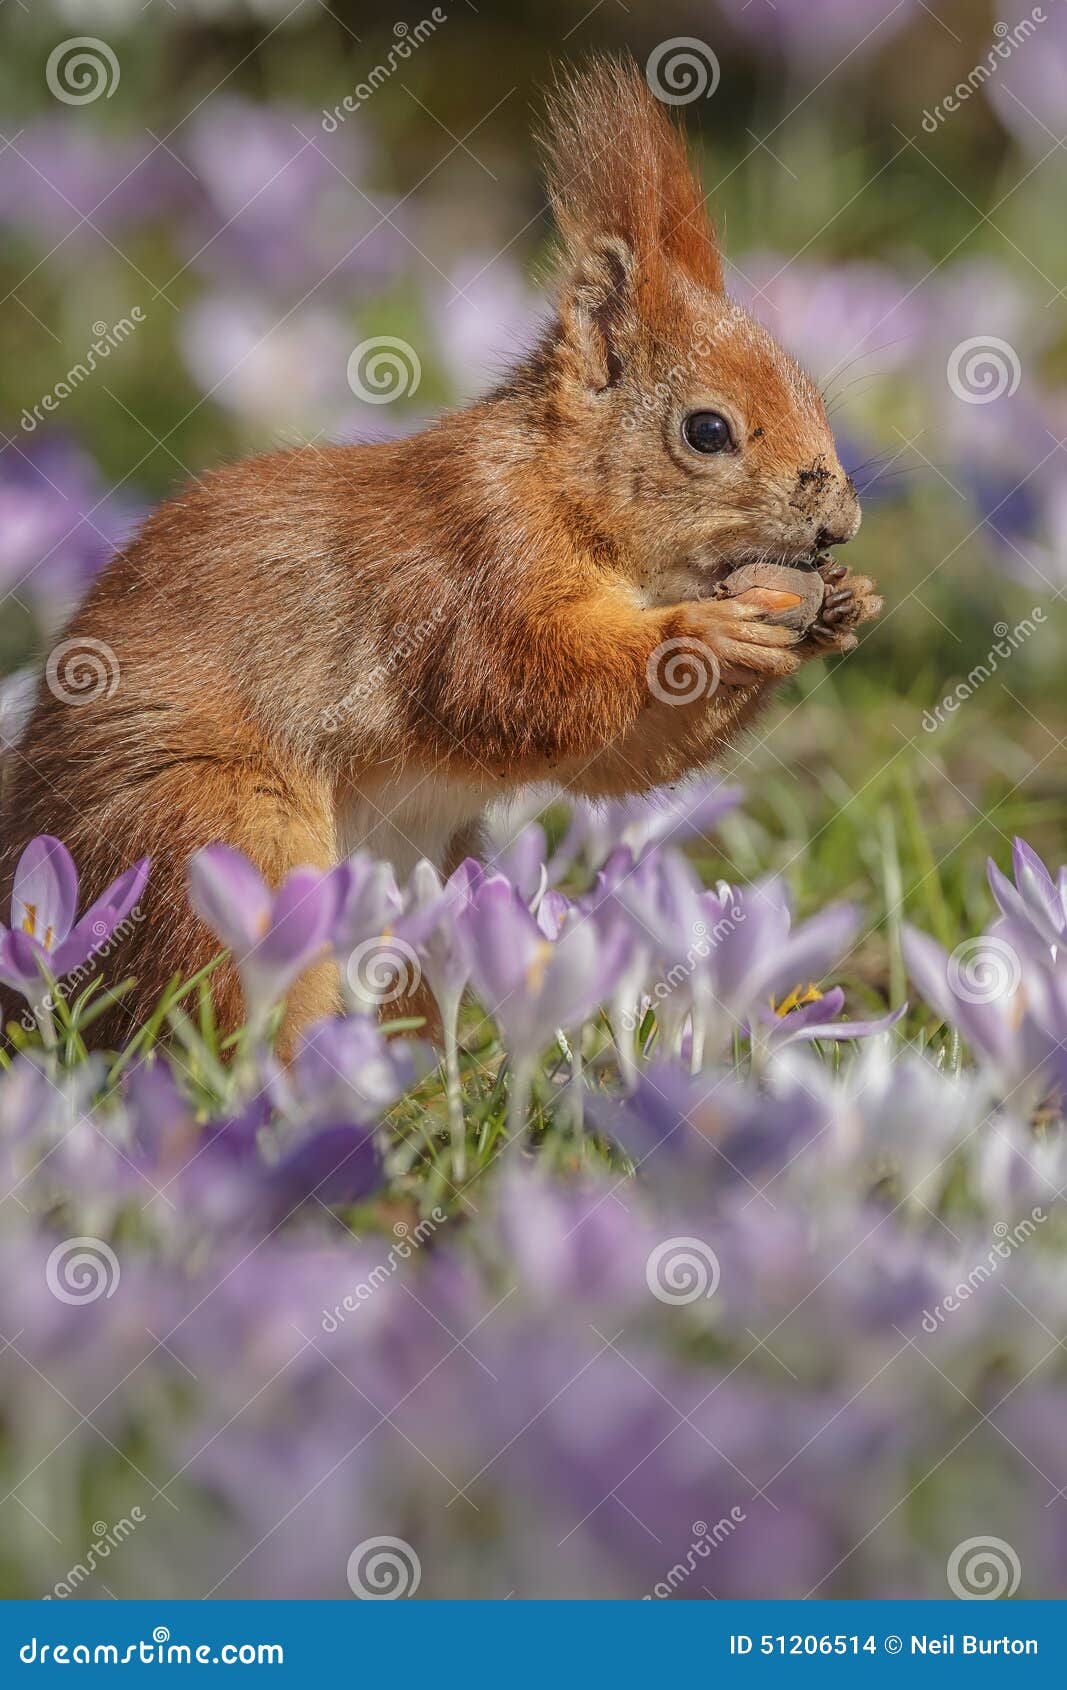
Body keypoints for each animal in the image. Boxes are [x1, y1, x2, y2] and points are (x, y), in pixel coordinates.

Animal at [0, 59, 881, 1053]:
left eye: (811, 392)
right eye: (707, 431)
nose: (839, 524)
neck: (564, 497)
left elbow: (613, 762)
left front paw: (844, 605)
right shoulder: (466, 559)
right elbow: (509, 682)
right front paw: (708, 633)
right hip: (209, 837)